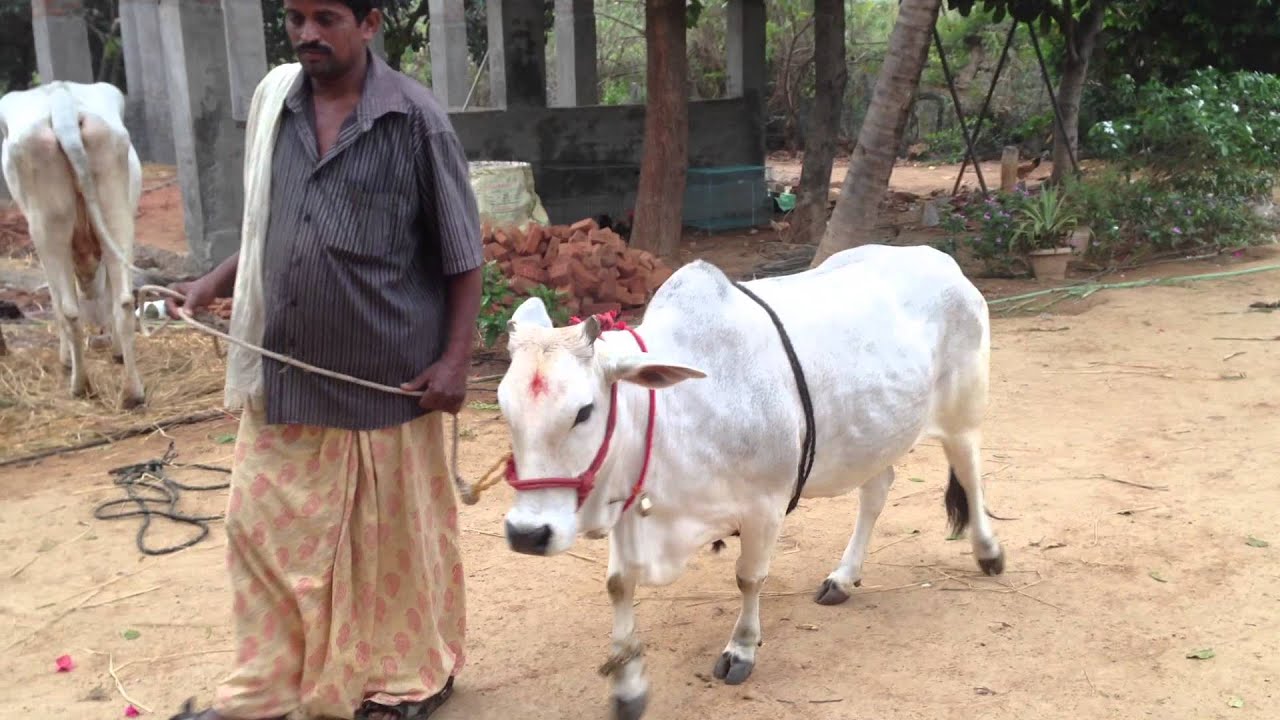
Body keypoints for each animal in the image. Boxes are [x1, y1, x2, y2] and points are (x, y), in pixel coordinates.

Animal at [0, 80, 146, 409]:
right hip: (116, 210)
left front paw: (66, 359)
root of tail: (61, 101)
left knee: (68, 309)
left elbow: (56, 300)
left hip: (47, 226)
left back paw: (80, 385)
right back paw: (133, 393)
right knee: (123, 301)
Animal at [495, 243, 1005, 719]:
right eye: (504, 407)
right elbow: (619, 586)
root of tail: (941, 260)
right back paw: (843, 578)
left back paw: (988, 552)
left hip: (962, 416)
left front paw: (741, 649)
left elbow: (749, 578)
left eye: (584, 411)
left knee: (970, 475)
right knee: (877, 491)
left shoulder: (765, 506)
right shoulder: (629, 508)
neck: (679, 412)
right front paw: (627, 687)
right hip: (876, 433)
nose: (526, 534)